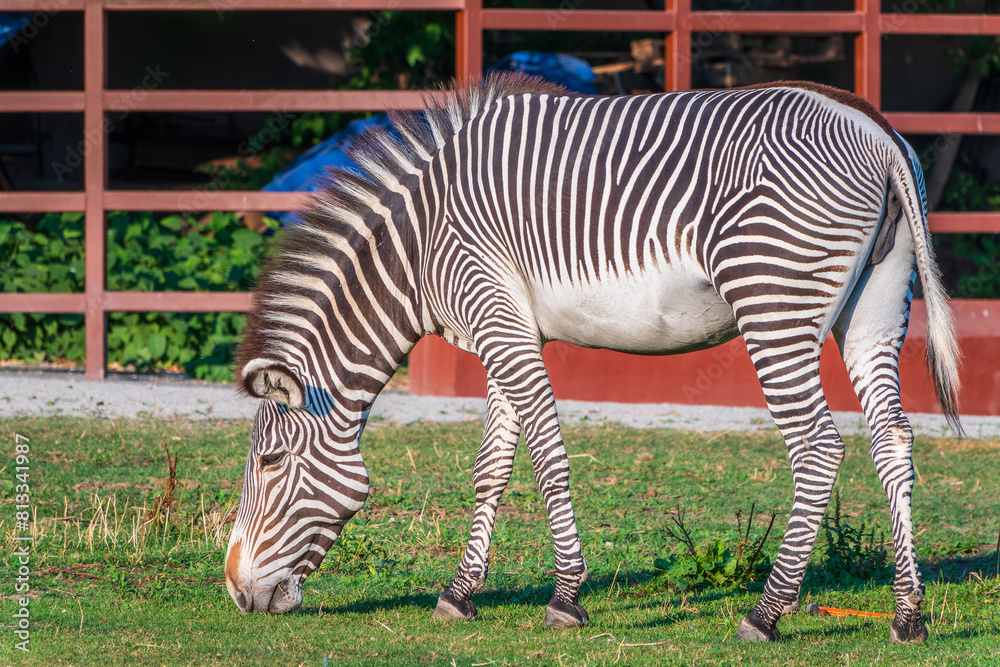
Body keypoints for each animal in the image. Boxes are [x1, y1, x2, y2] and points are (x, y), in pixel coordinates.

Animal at [224, 73, 961, 643]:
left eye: (270, 462)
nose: (233, 591)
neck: (419, 242)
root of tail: (875, 128)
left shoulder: (495, 317)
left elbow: (547, 457)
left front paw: (565, 597)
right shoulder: (507, 325)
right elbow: (492, 466)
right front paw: (460, 592)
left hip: (772, 299)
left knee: (817, 446)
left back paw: (767, 612)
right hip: (876, 303)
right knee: (893, 438)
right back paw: (908, 614)